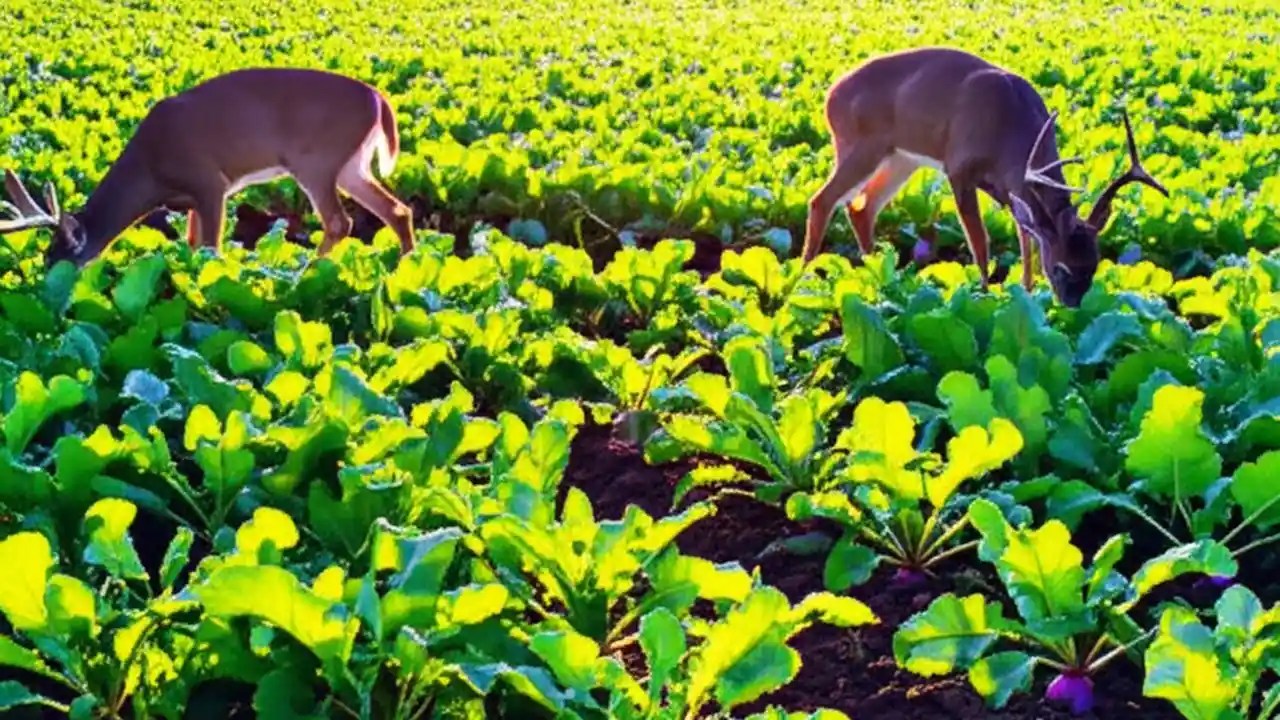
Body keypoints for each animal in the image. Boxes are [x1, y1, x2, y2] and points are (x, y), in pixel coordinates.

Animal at [0, 67, 415, 267]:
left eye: (56, 261)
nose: (45, 296)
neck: (150, 171)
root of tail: (380, 99)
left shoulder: (210, 182)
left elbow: (211, 248)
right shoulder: (191, 200)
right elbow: (192, 244)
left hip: (317, 161)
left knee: (339, 222)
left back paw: (305, 274)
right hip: (350, 165)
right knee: (397, 210)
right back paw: (408, 269)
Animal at [801, 47, 1169, 307]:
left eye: (1093, 264)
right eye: (1060, 267)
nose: (1073, 305)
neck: (1010, 127)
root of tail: (831, 94)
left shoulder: (1013, 187)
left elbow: (1025, 241)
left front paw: (1026, 294)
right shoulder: (959, 169)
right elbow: (981, 243)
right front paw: (985, 296)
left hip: (900, 158)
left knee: (862, 208)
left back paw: (879, 277)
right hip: (859, 145)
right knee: (822, 200)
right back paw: (802, 281)